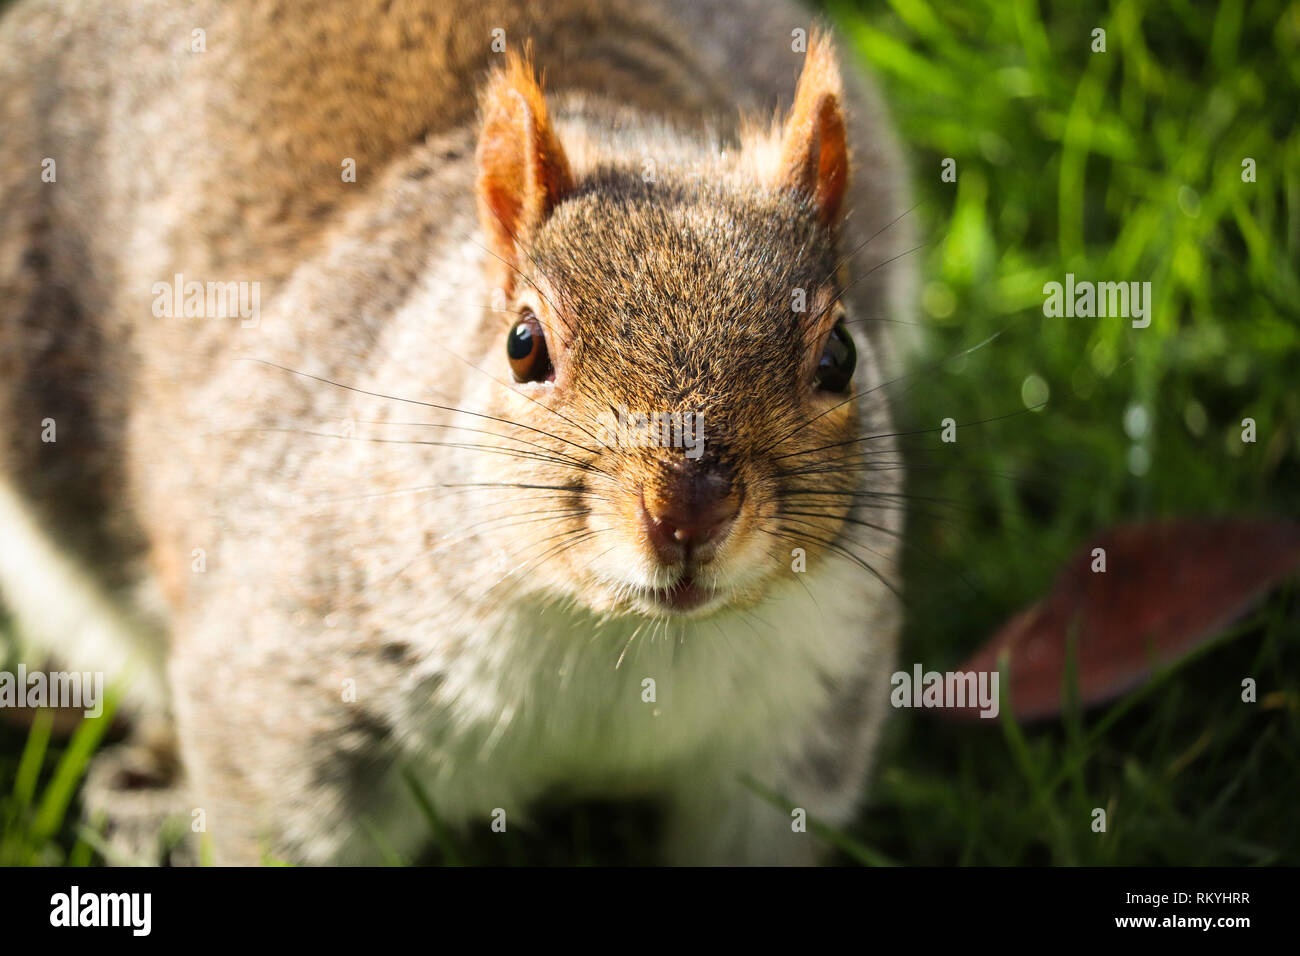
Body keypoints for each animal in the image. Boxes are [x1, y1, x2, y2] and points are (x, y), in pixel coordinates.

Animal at [0, 0, 915, 865]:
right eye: (523, 345)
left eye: (840, 354)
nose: (689, 510)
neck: (620, 639)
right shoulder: (290, 691)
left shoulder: (796, 729)